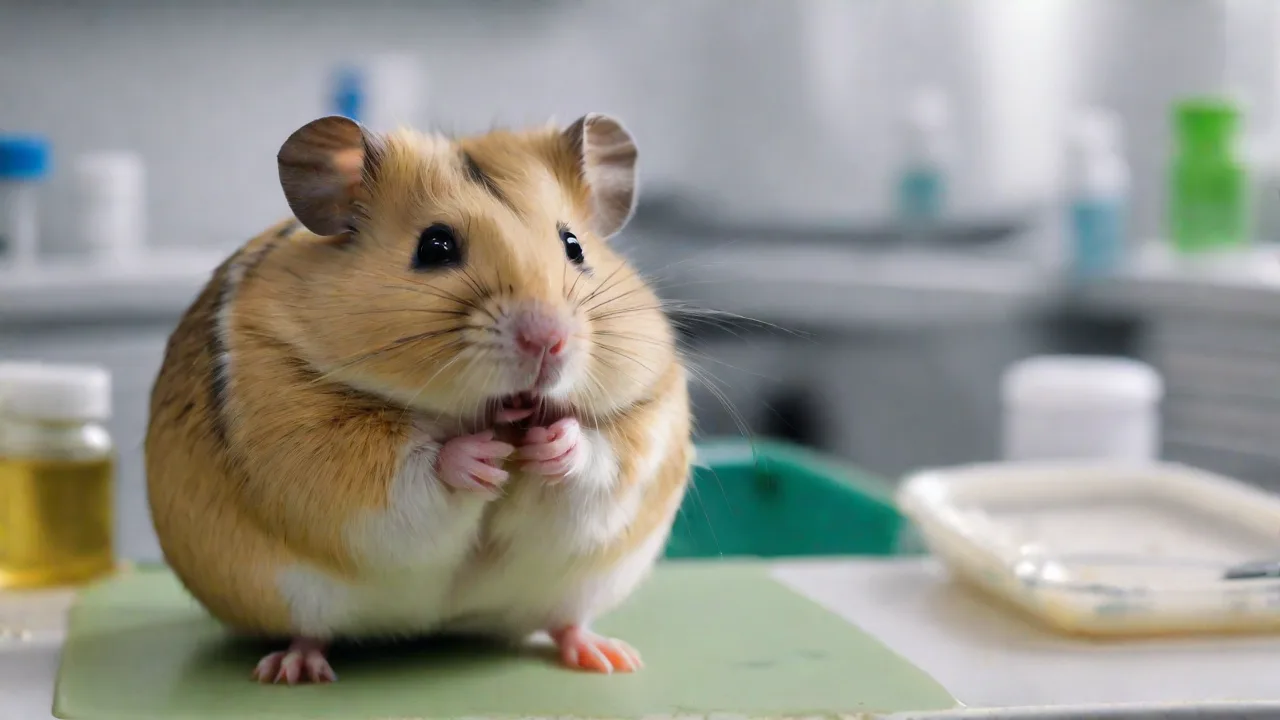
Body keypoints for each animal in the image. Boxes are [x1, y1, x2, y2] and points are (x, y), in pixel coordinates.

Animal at [145, 112, 692, 684]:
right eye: (435, 247)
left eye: (574, 246)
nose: (548, 341)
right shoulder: (321, 451)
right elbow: (418, 464)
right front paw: (482, 457)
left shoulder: (645, 420)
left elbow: (598, 453)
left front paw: (552, 444)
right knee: (310, 632)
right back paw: (292, 671)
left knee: (564, 621)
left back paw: (609, 657)